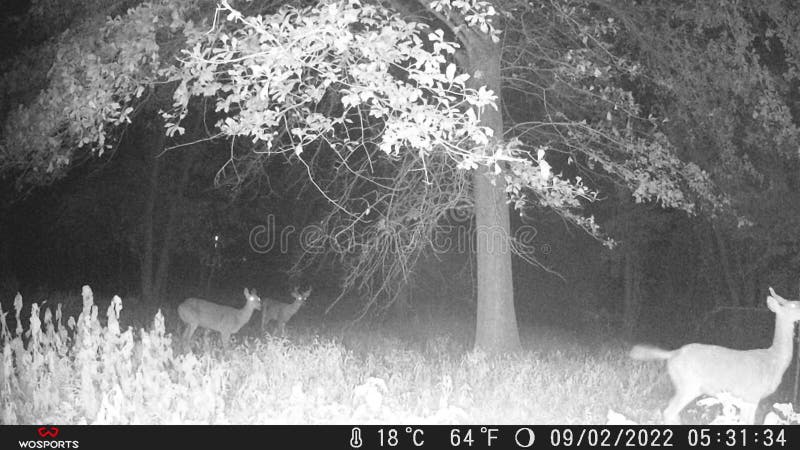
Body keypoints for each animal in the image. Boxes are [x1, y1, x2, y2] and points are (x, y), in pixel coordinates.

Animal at [629, 287, 800, 424]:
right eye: (793, 305)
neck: (774, 360)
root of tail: (673, 353)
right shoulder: (751, 395)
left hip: (687, 386)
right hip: (688, 384)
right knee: (669, 411)